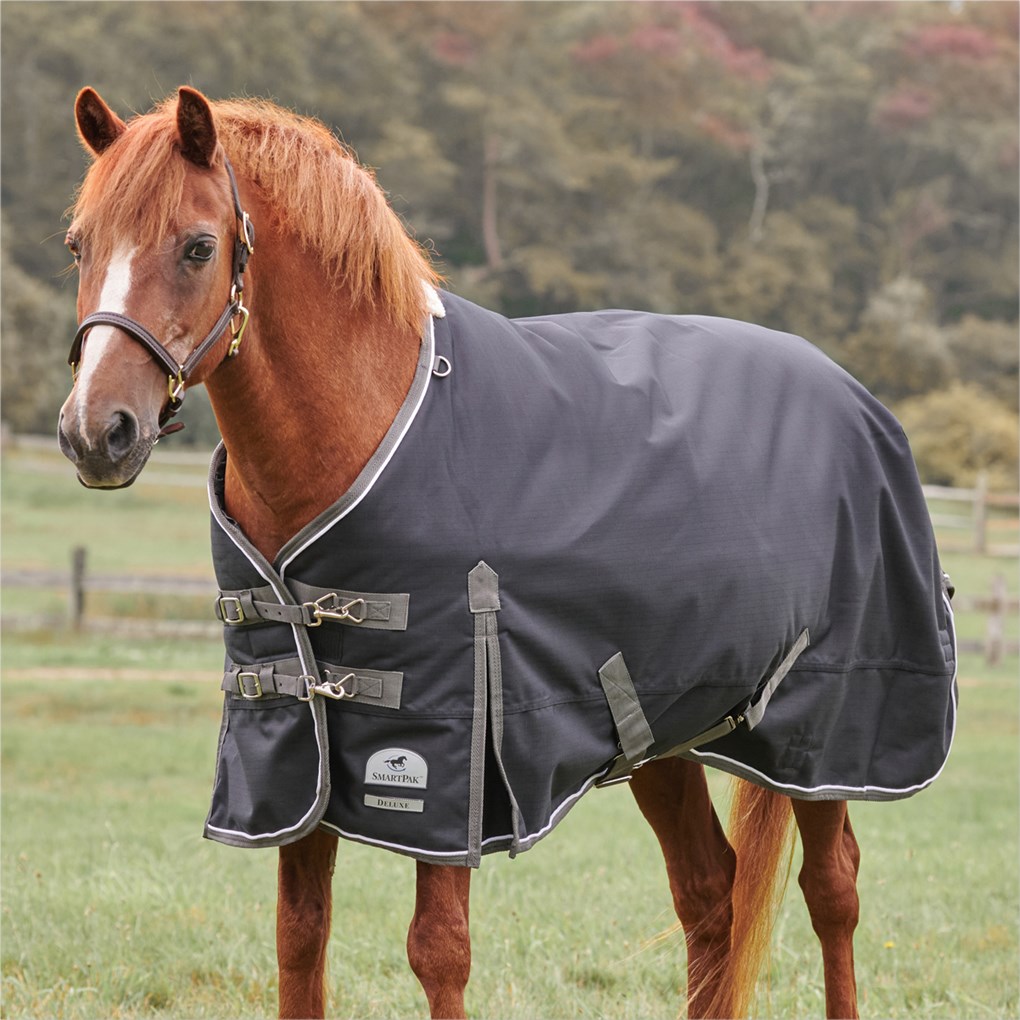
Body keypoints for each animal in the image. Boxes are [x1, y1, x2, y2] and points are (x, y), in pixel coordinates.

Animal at [57, 86, 956, 1019]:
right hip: (660, 730)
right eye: (78, 245)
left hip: (828, 734)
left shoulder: (445, 761)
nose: (95, 432)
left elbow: (438, 951)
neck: (364, 419)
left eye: (198, 247)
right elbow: (299, 939)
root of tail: (855, 397)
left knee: (832, 890)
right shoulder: (298, 754)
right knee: (711, 896)